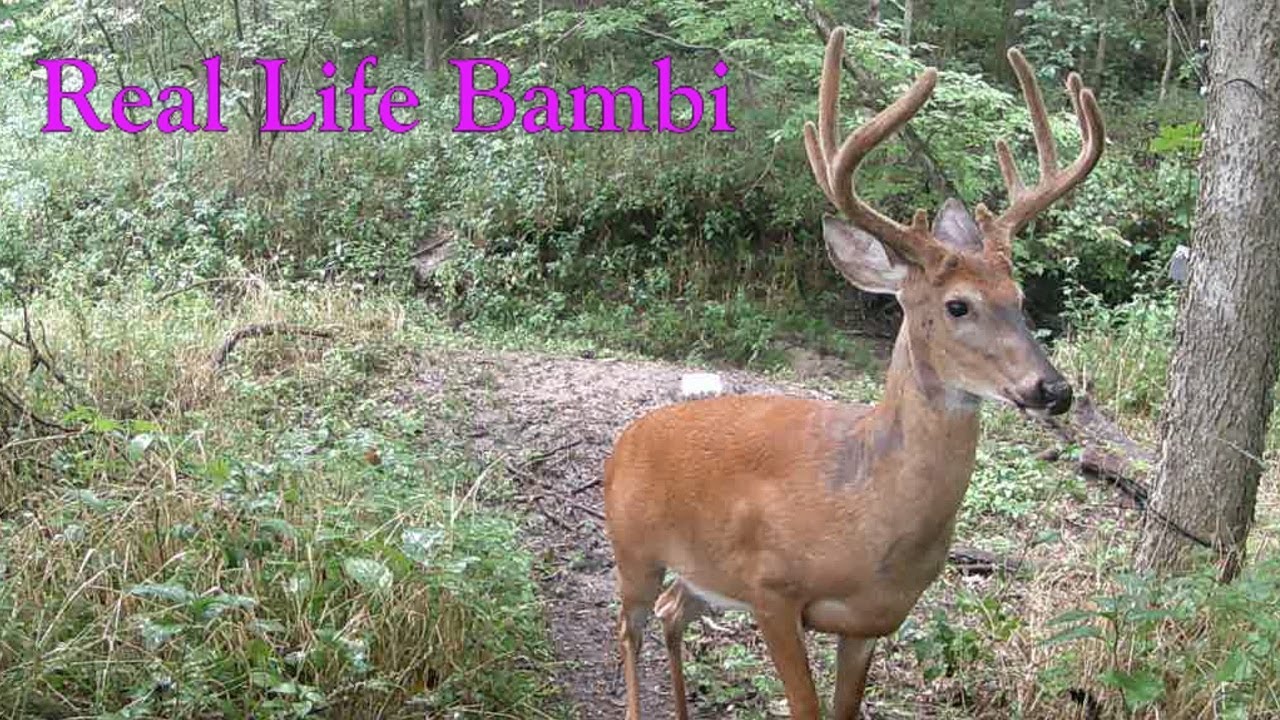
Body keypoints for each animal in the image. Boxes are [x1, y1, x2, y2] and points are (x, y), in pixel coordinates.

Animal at [602, 27, 1104, 720]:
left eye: (1021, 297)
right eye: (958, 305)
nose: (1052, 389)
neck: (866, 511)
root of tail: (626, 440)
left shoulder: (870, 622)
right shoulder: (771, 588)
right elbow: (805, 708)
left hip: (703, 572)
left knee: (675, 611)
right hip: (633, 550)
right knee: (629, 626)